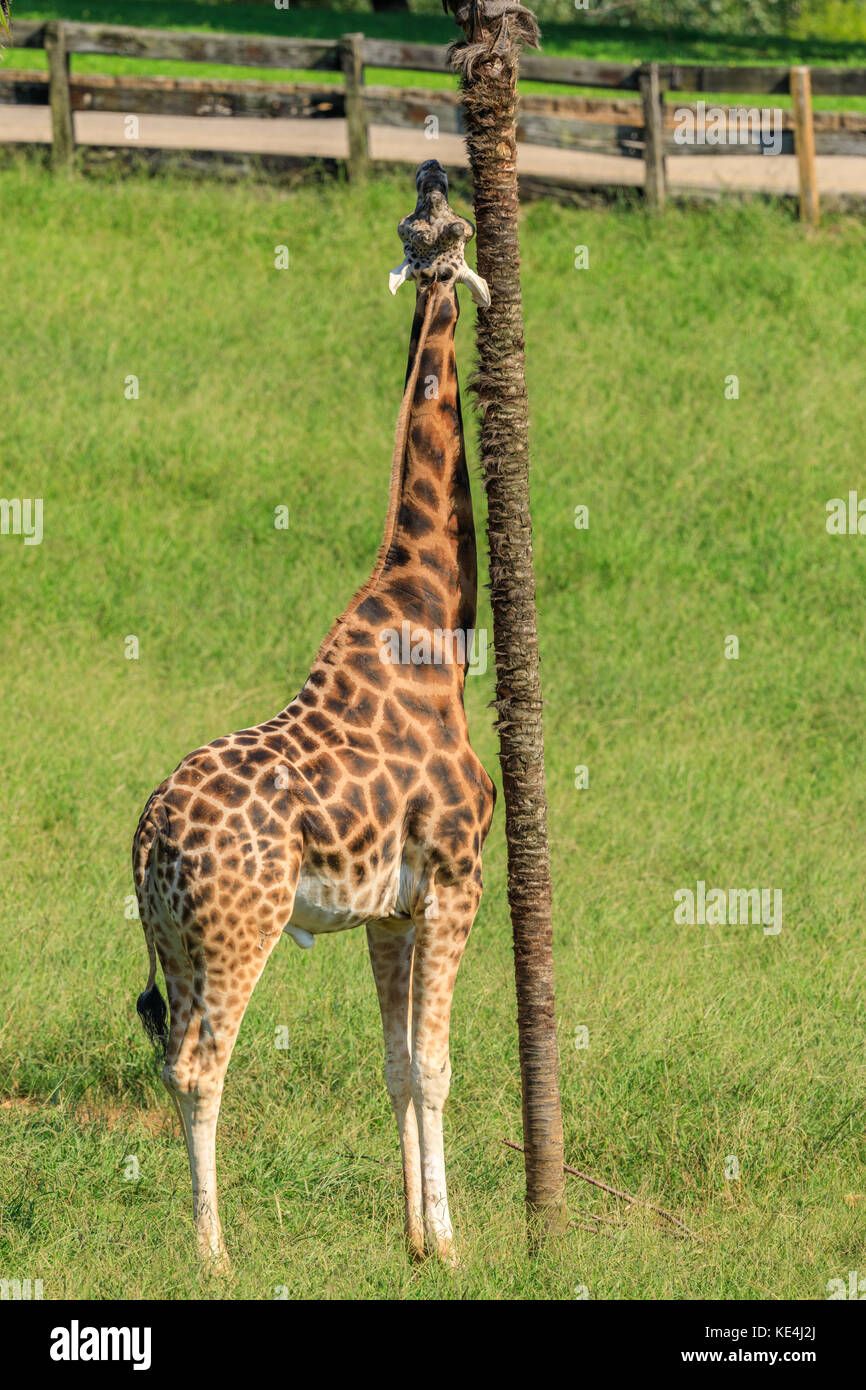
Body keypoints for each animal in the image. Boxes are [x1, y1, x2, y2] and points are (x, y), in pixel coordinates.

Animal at [132, 160, 495, 1272]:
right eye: (446, 228)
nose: (441, 173)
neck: (434, 618)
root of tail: (144, 837)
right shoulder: (459, 879)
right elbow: (438, 1067)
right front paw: (453, 1248)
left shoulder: (390, 909)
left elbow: (396, 1067)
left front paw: (414, 1239)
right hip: (236, 932)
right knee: (198, 1066)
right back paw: (214, 1255)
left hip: (175, 942)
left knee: (169, 1050)